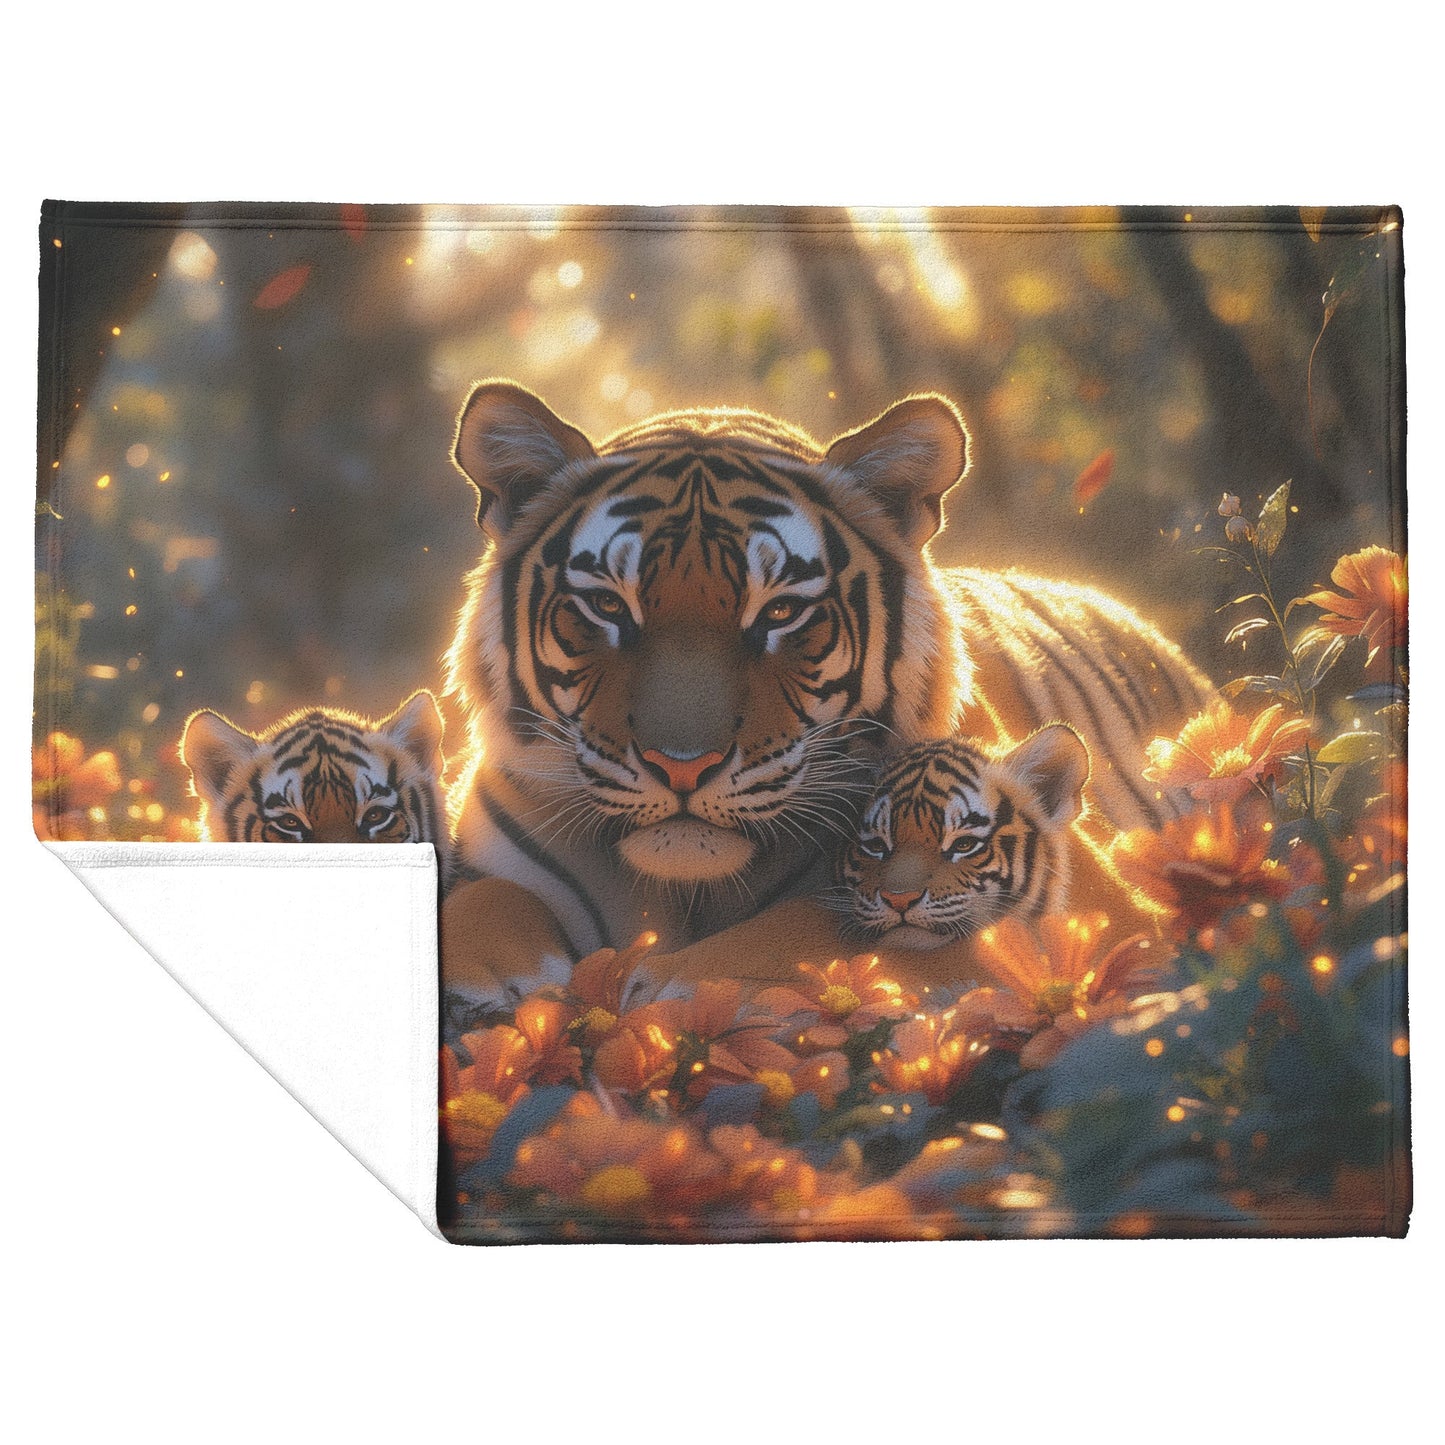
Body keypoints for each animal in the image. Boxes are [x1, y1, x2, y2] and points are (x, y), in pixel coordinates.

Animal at [440, 379, 1211, 992]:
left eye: (780, 612)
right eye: (607, 605)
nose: (681, 767)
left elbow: (814, 929)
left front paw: (662, 984)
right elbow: (475, 903)